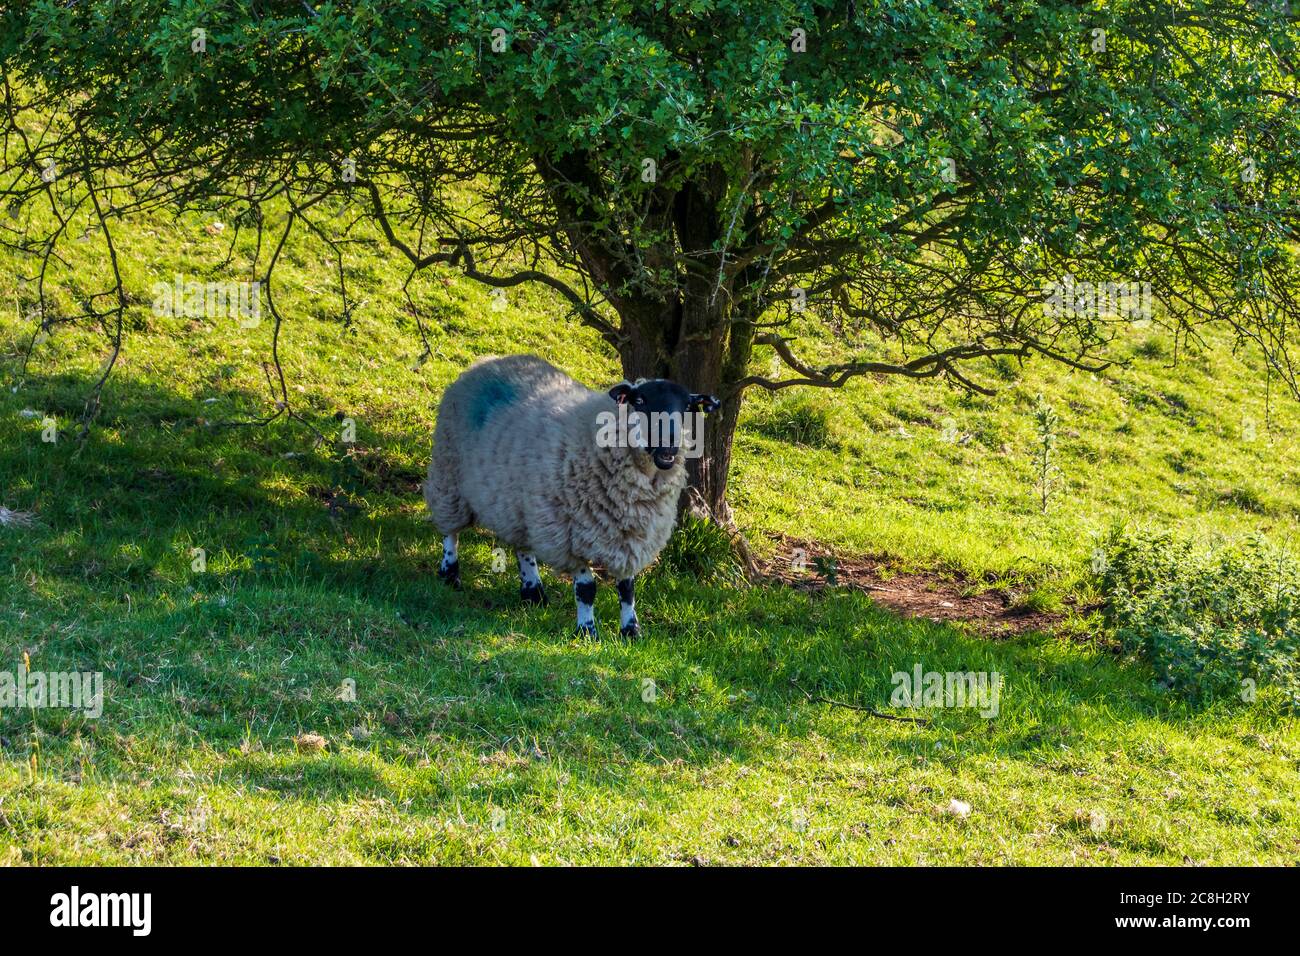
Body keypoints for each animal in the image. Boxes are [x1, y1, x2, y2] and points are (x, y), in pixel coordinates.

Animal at [425, 354, 719, 638]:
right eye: (640, 401)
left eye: (688, 407)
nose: (669, 445)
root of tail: (488, 361)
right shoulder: (569, 535)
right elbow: (587, 589)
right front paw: (587, 632)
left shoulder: (630, 537)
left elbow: (627, 589)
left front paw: (631, 631)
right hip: (449, 473)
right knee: (451, 531)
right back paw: (450, 573)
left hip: (519, 502)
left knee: (523, 546)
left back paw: (533, 592)